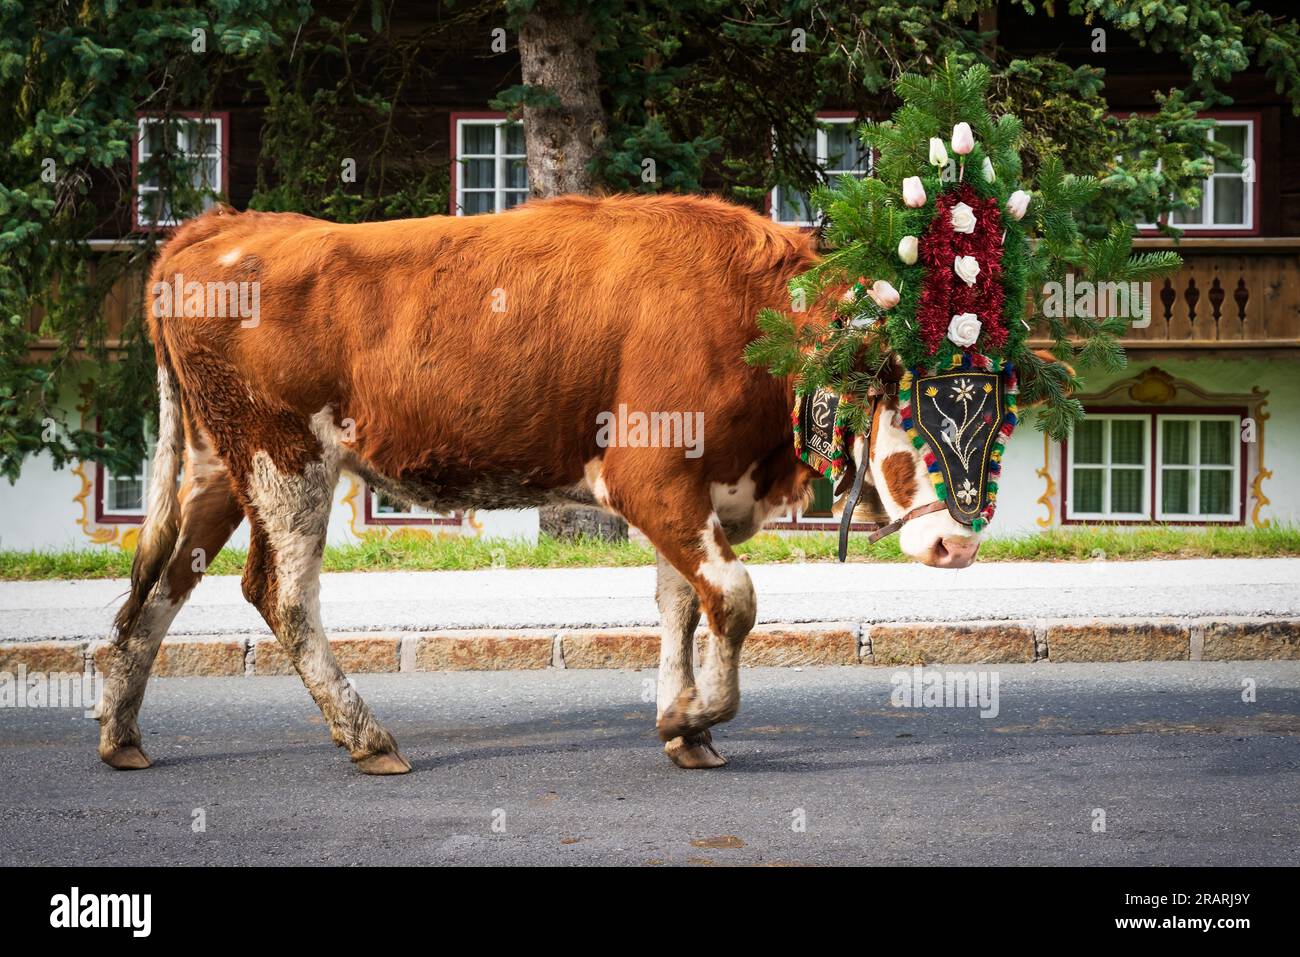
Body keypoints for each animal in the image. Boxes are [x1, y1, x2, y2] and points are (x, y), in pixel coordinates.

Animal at [97, 193, 993, 775]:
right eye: (906, 403)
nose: (957, 541)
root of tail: (222, 227)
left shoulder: (699, 490)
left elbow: (681, 603)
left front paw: (686, 730)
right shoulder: (649, 472)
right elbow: (733, 599)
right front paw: (692, 714)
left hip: (220, 465)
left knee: (165, 583)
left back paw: (120, 733)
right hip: (284, 458)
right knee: (279, 592)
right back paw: (367, 736)